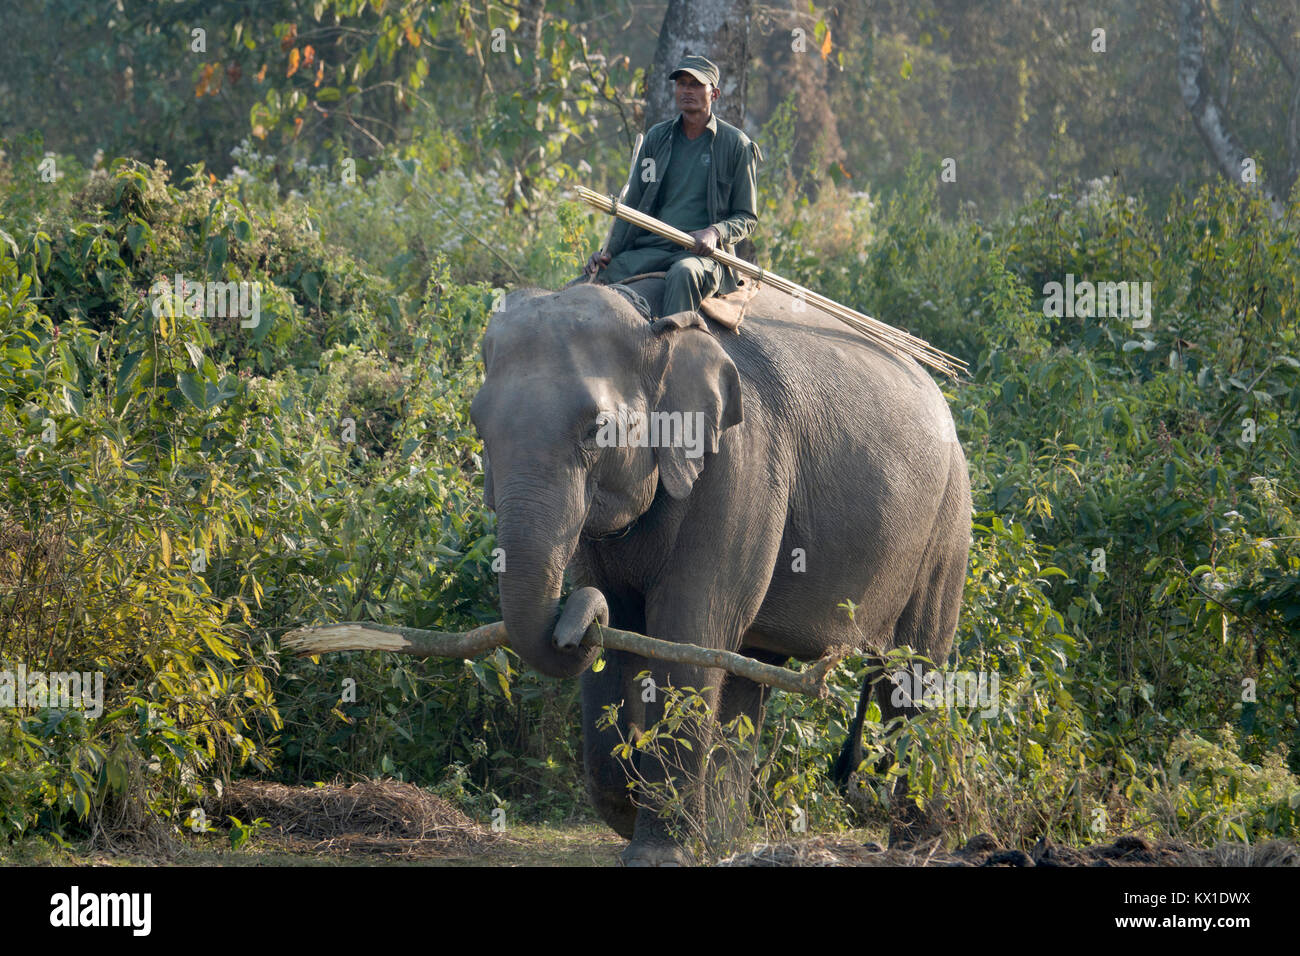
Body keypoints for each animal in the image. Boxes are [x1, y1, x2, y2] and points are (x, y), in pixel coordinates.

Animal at [468, 278, 971, 865]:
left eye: (597, 431)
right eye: (479, 427)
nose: (575, 609)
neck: (654, 322)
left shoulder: (739, 465)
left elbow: (688, 634)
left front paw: (658, 852)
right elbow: (621, 642)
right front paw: (640, 811)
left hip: (946, 525)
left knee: (911, 675)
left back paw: (914, 846)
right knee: (748, 677)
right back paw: (723, 842)